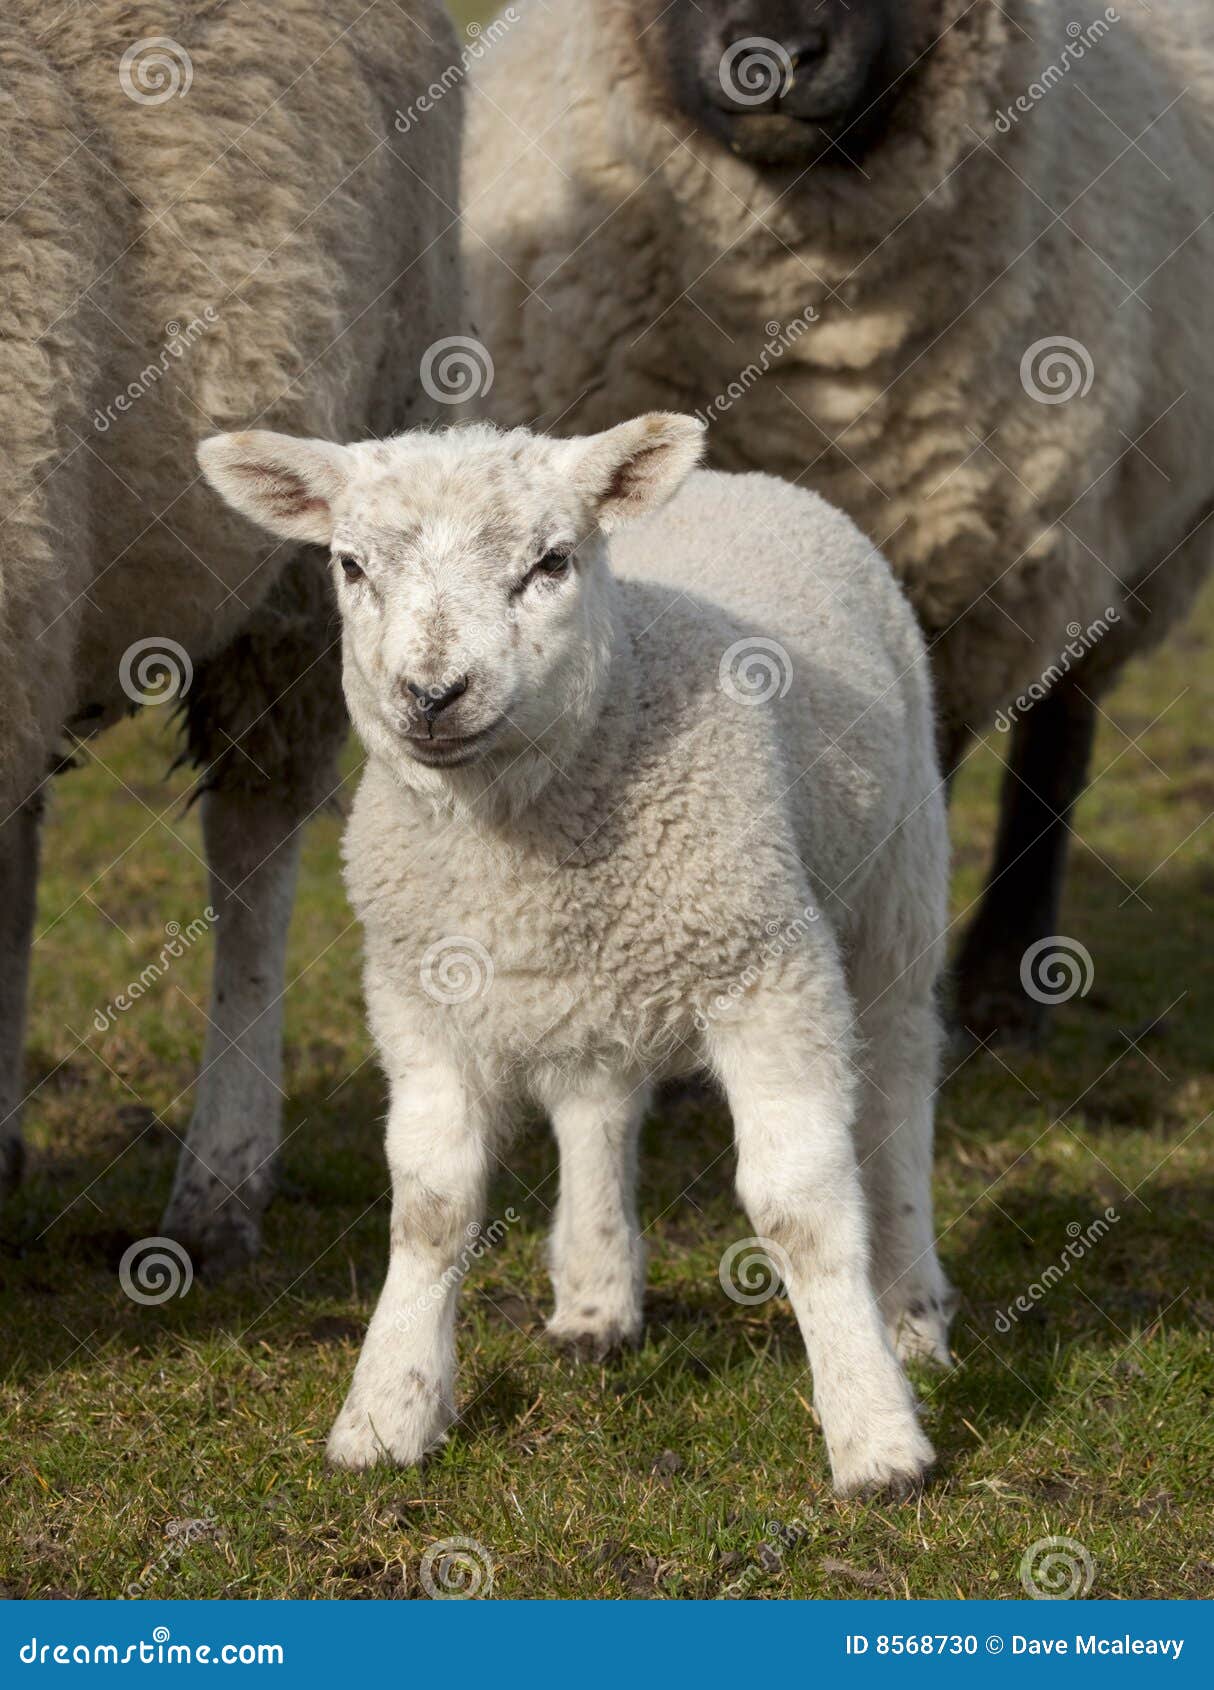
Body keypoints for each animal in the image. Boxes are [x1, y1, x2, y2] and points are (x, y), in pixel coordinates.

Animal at [197, 410, 955, 1497]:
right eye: (349, 564)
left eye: (550, 562)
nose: (431, 693)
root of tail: (737, 479)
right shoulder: (414, 1000)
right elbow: (431, 1206)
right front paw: (387, 1410)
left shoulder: (769, 970)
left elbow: (800, 1208)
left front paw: (874, 1433)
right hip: (590, 982)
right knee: (597, 1103)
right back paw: (596, 1300)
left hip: (896, 885)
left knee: (897, 1079)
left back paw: (911, 1311)